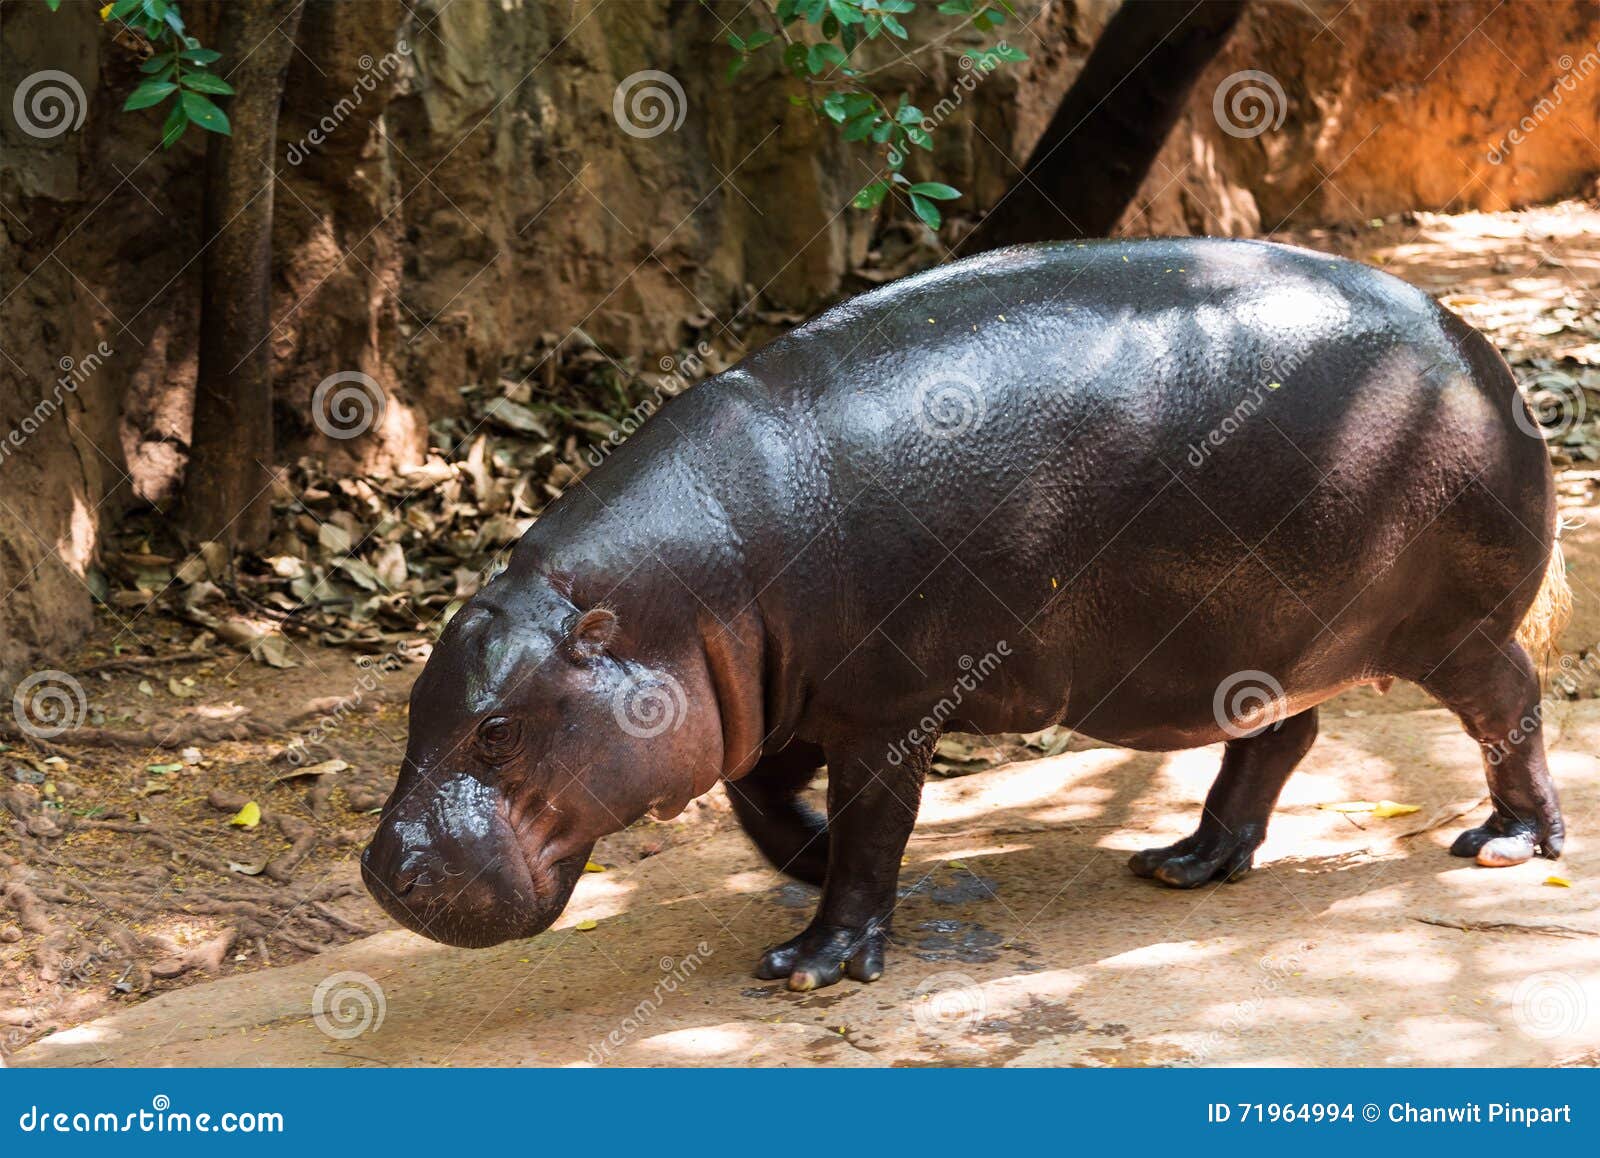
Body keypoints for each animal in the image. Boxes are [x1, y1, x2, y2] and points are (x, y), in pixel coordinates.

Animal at [362, 237, 1570, 991]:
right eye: (415, 703)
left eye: (497, 730)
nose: (380, 873)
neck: (693, 584)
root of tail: (1486, 354)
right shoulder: (794, 692)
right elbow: (762, 793)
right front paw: (806, 862)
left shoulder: (886, 707)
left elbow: (873, 827)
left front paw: (813, 963)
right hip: (1268, 639)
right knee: (1280, 737)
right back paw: (1185, 861)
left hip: (1451, 630)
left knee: (1508, 705)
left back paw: (1506, 843)